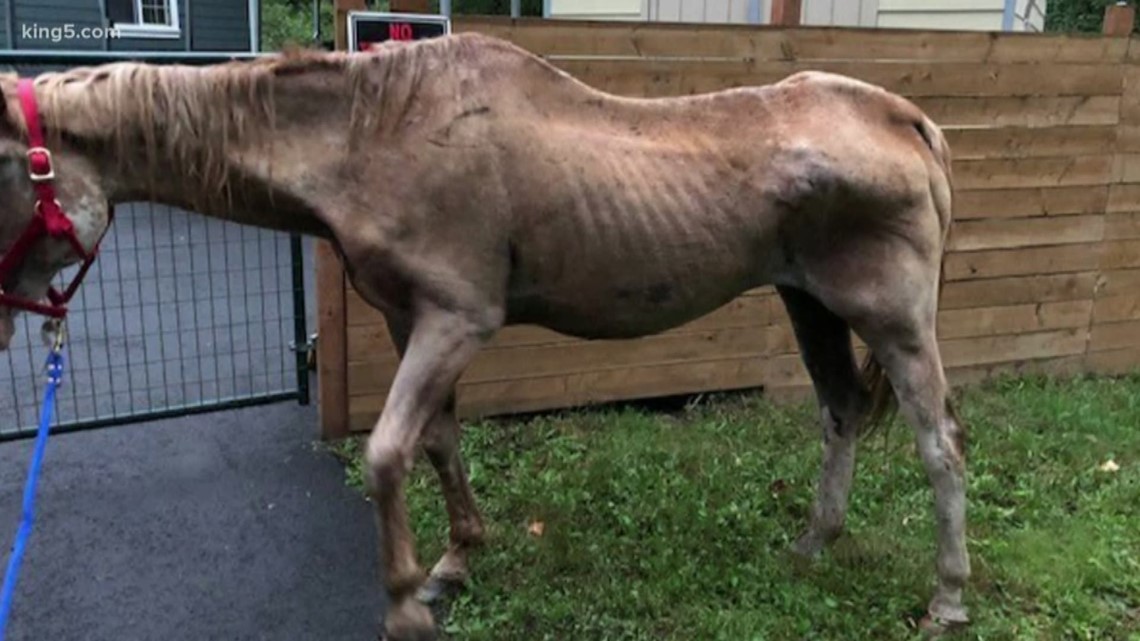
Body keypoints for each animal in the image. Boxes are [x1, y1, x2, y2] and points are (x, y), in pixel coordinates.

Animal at [0, 32, 968, 640]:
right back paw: (814, 542)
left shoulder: (456, 321)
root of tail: (905, 120)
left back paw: (948, 597)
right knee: (840, 414)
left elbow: (386, 452)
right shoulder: (411, 321)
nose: (8, 315)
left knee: (942, 445)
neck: (375, 132)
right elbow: (438, 442)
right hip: (811, 304)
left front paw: (404, 604)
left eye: (4, 167)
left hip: (894, 322)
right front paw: (455, 560)